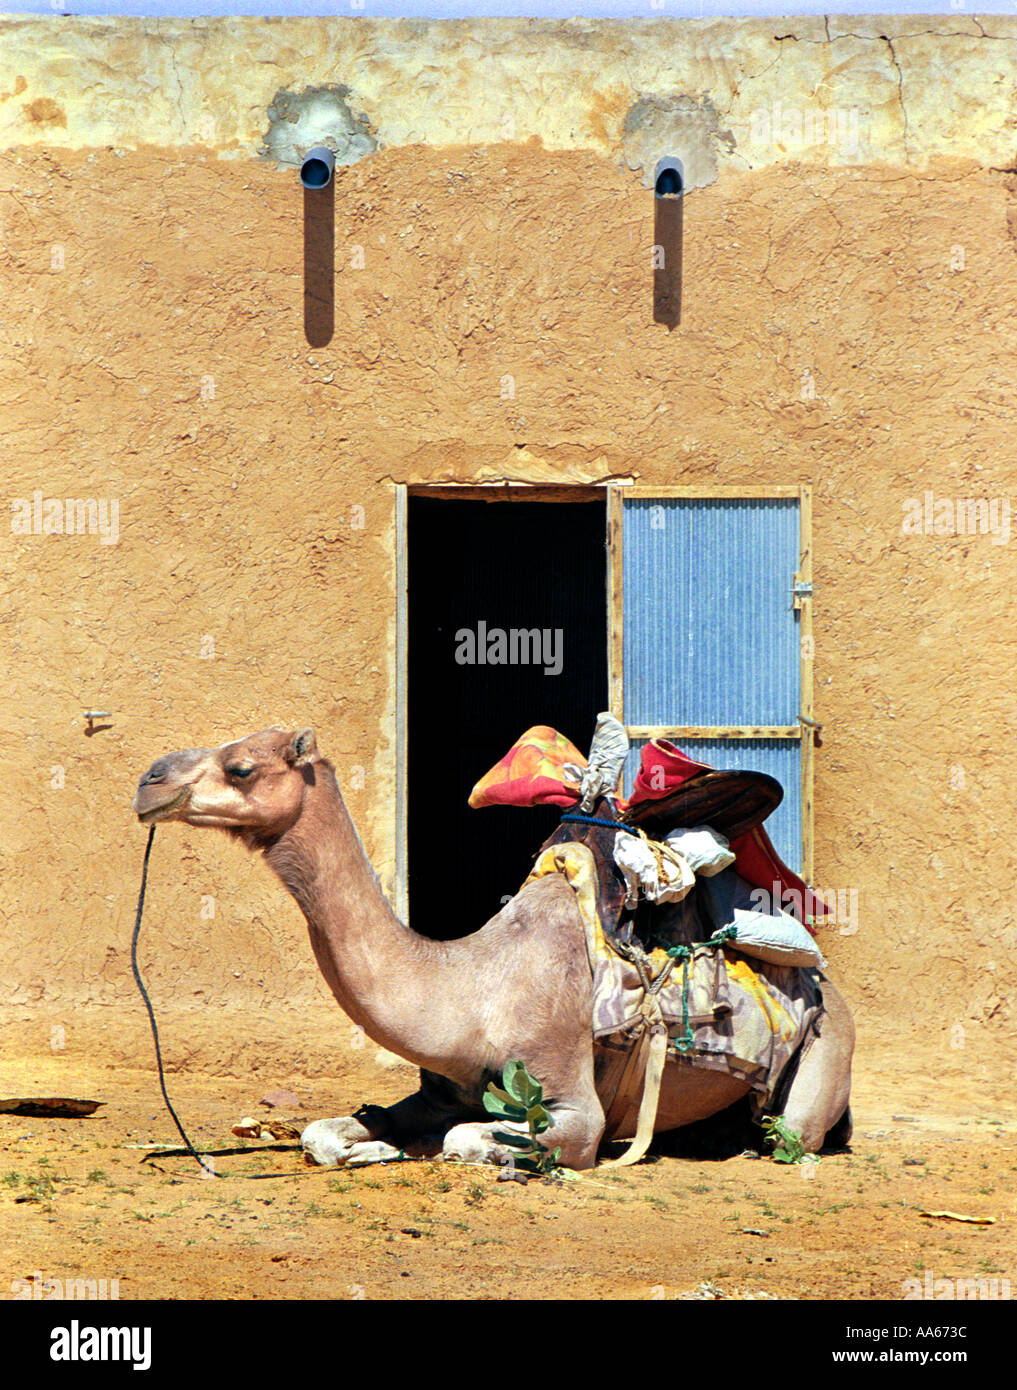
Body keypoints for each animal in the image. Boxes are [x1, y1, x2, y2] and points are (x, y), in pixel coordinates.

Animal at [132, 727, 854, 1171]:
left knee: (793, 1129)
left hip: (823, 1051)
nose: (149, 779)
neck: (470, 987)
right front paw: (373, 1149)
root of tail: (828, 989)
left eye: (241, 766)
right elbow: (326, 1131)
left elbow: (466, 1139)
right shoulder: (440, 1087)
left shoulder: (575, 1109)